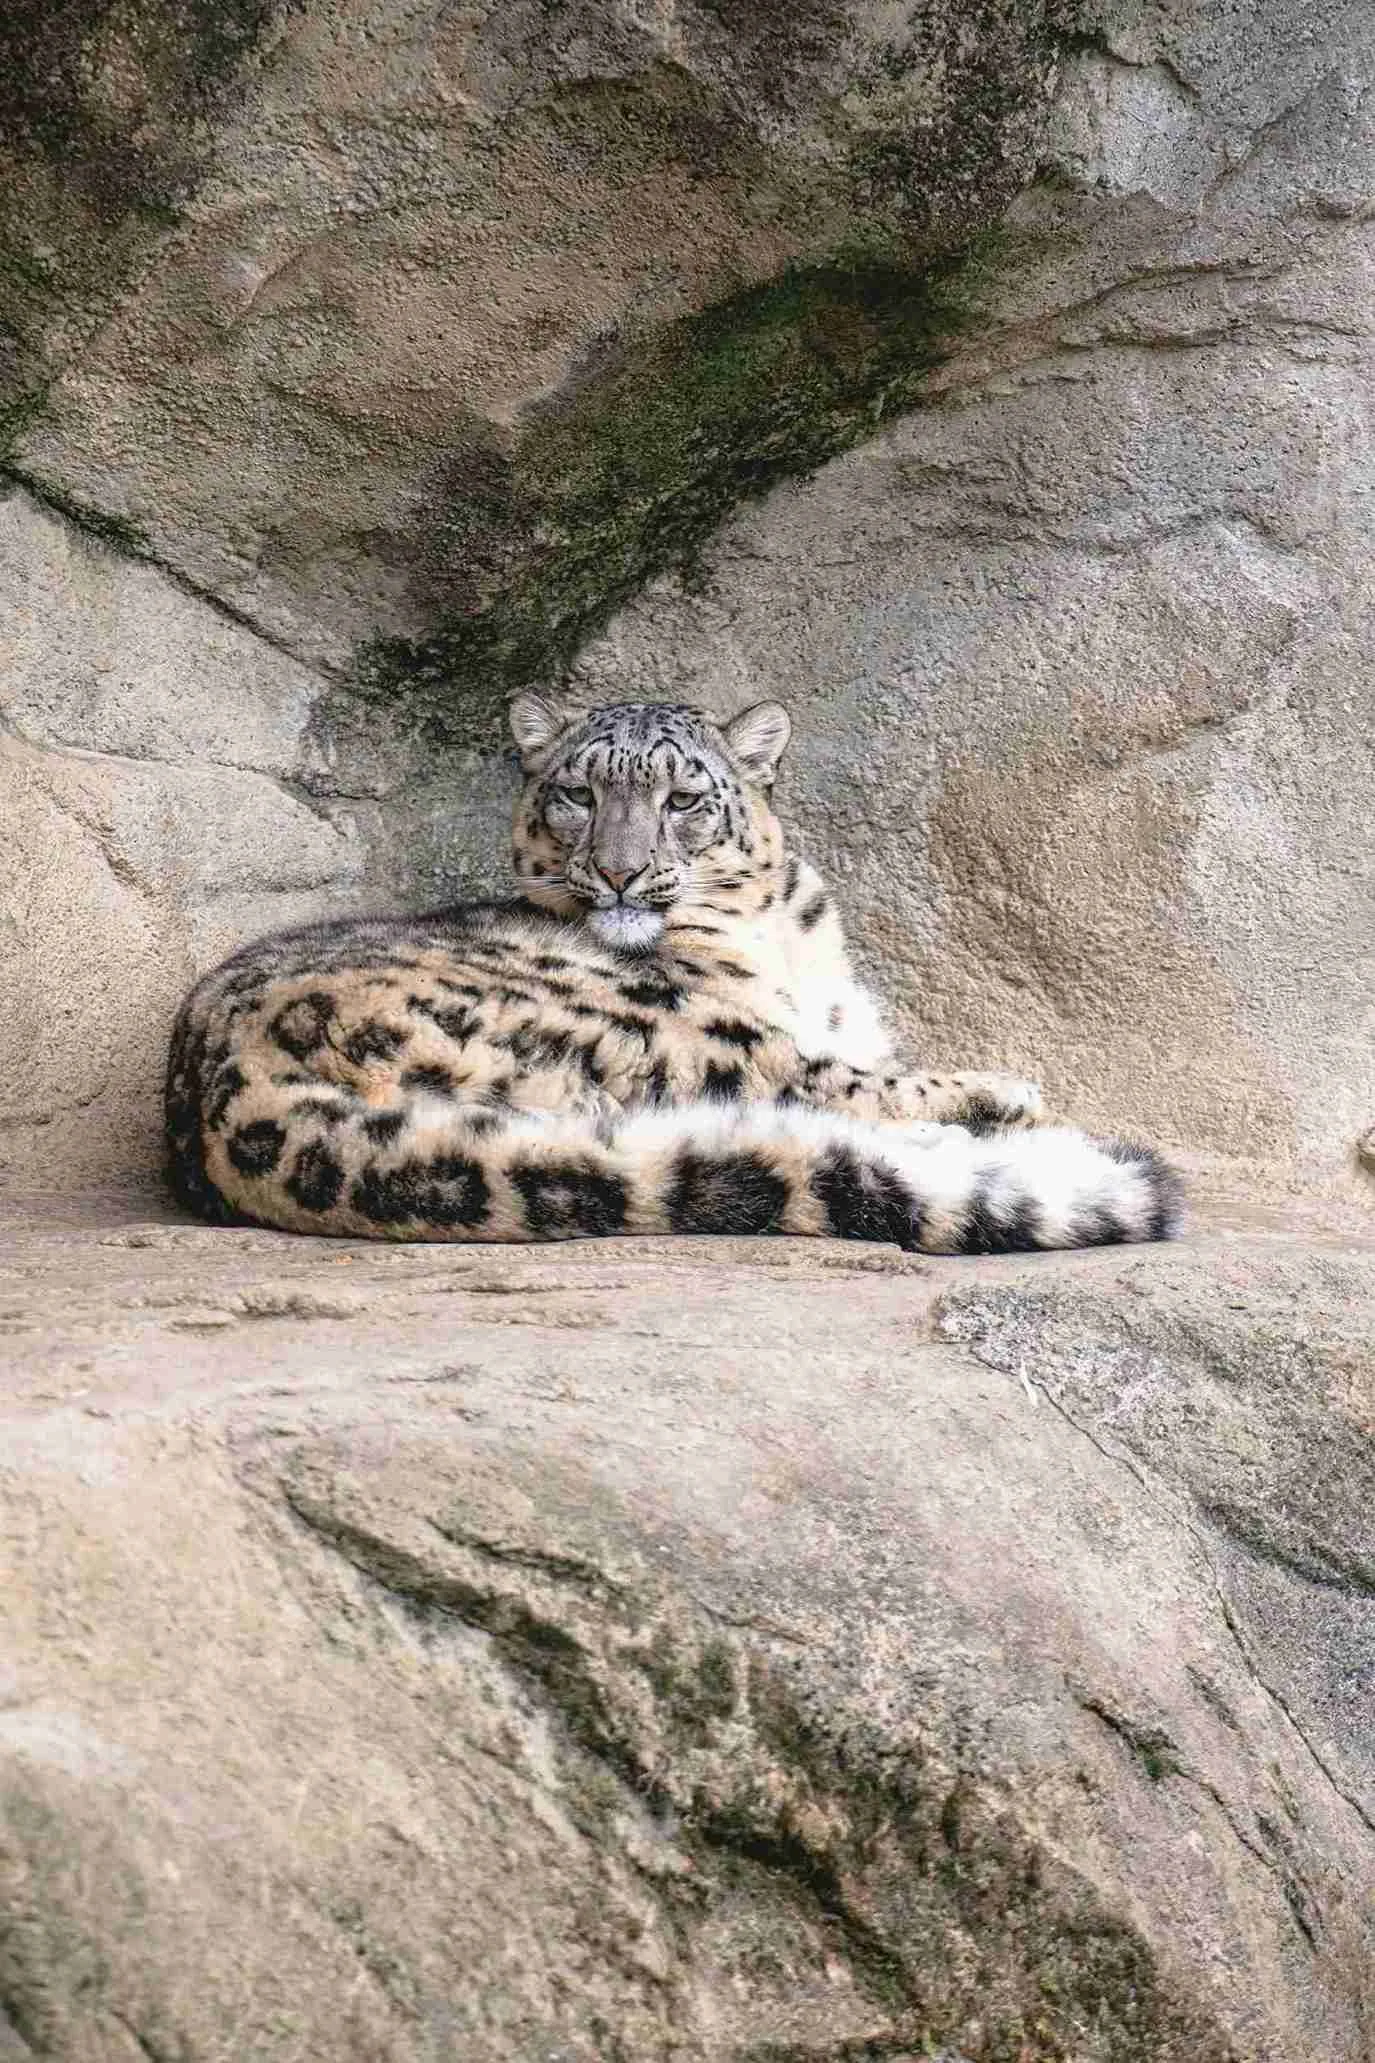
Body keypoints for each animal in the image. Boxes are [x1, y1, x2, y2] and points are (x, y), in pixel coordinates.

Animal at [165, 696, 1182, 1253]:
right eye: (576, 793)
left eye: (683, 797)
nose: (618, 870)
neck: (783, 934)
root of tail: (224, 1100)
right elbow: (862, 1073)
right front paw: (999, 1087)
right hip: (654, 1016)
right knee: (810, 1091)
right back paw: (1003, 1108)